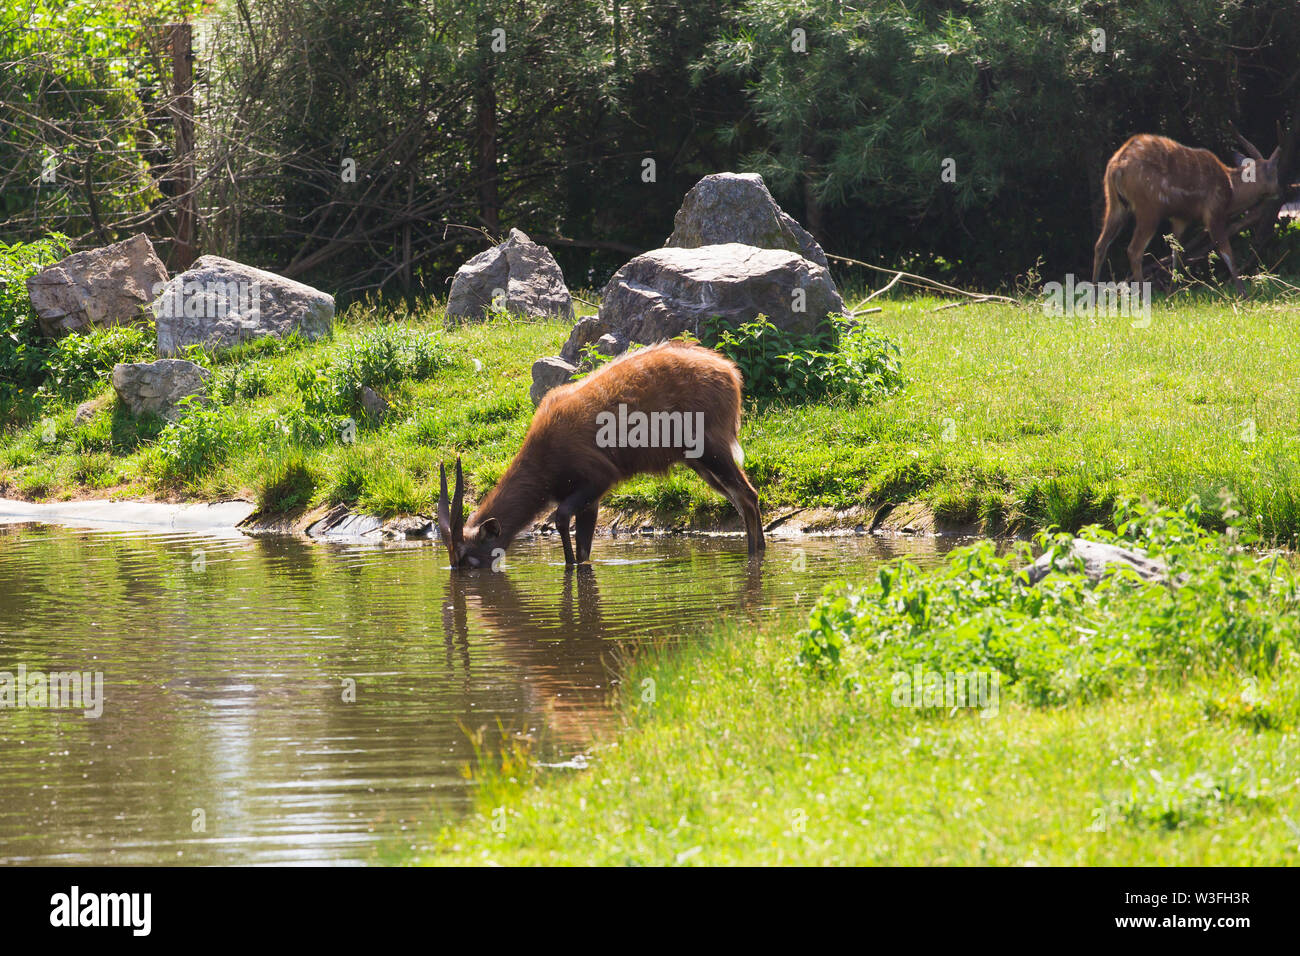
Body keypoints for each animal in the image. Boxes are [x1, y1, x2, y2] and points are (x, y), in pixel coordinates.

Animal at [437, 340, 764, 569]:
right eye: (452, 559)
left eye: (467, 559)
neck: (545, 456)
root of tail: (730, 374)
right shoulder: (589, 499)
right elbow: (584, 548)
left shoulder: (599, 478)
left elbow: (561, 519)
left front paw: (568, 567)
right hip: (699, 462)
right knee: (740, 498)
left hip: (712, 451)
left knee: (748, 494)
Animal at [1091, 129, 1281, 295]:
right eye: (1273, 172)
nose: (1279, 190)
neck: (1232, 190)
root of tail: (1117, 166)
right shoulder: (1213, 211)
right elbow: (1227, 252)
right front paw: (1243, 294)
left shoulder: (1181, 217)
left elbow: (1176, 253)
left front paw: (1172, 293)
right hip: (1148, 209)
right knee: (1133, 250)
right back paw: (1142, 297)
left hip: (1114, 204)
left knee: (1100, 245)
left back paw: (1094, 295)